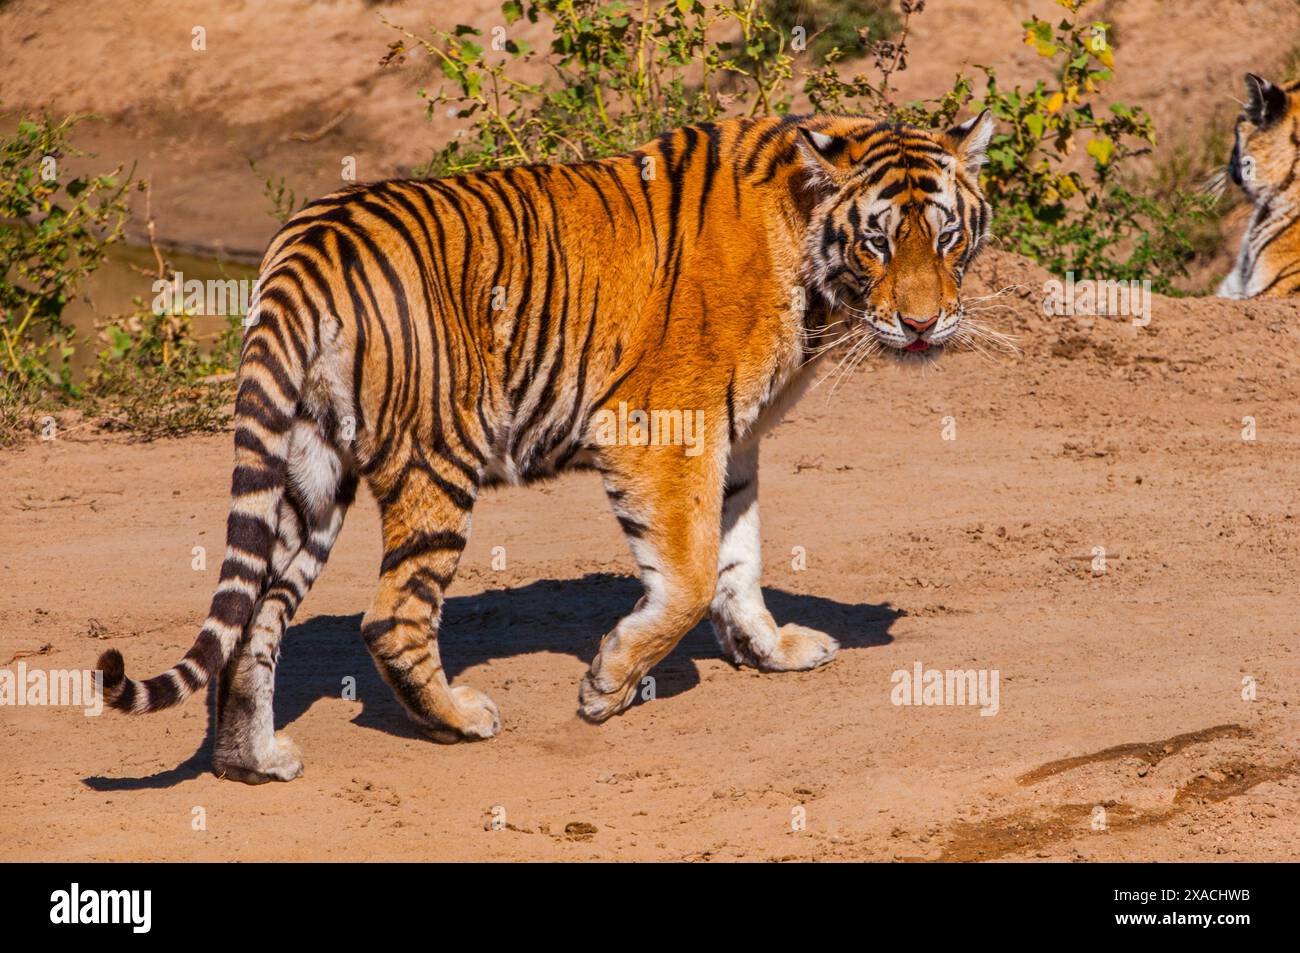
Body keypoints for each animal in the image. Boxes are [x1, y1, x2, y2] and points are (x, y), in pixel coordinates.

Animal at [95, 110, 995, 782]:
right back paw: (461, 718)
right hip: (438, 455)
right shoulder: (661, 428)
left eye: (947, 238)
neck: (808, 247)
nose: (923, 325)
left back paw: (251, 760)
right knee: (392, 615)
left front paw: (770, 651)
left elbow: (739, 559)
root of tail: (309, 243)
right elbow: (691, 573)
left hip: (309, 471)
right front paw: (608, 685)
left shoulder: (735, 444)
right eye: (878, 242)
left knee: (254, 615)